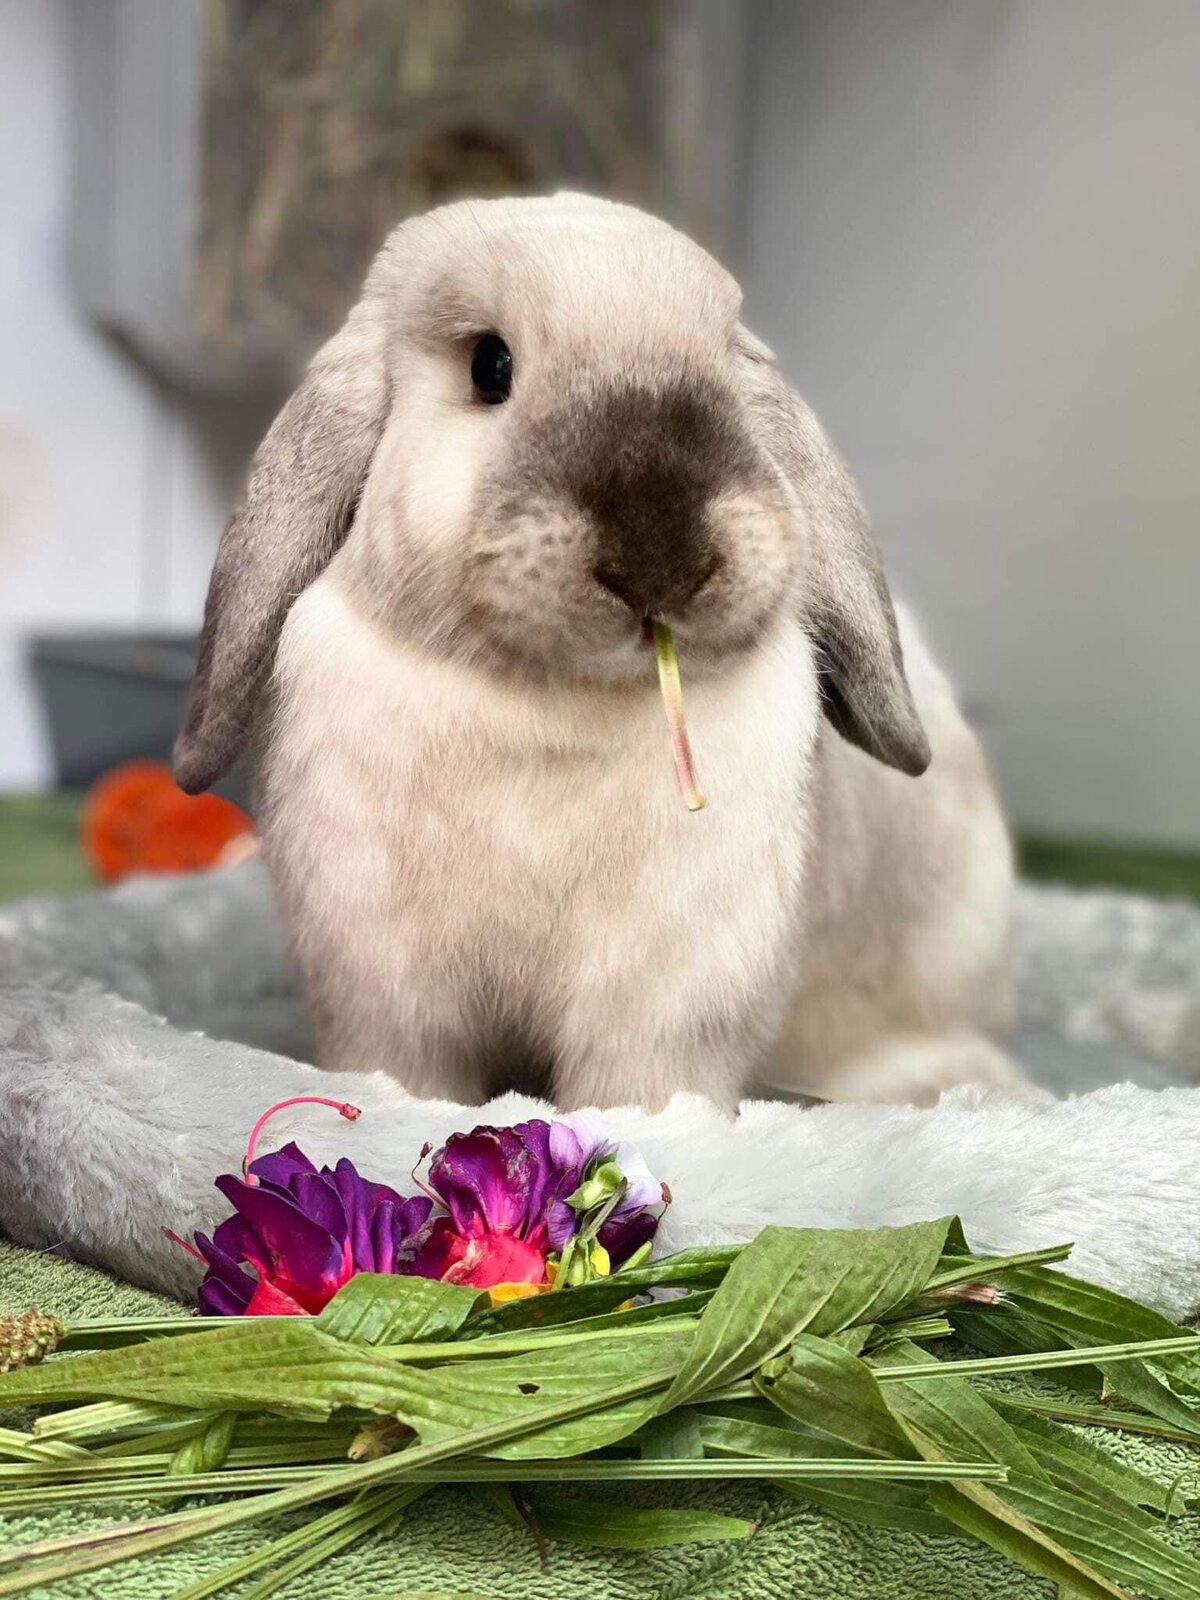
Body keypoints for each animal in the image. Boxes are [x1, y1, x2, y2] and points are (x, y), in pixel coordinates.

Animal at [175, 192, 1021, 1113]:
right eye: (490, 366)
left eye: (725, 374)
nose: (661, 553)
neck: (546, 708)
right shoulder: (385, 988)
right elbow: (413, 1079)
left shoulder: (666, 1000)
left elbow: (640, 1090)